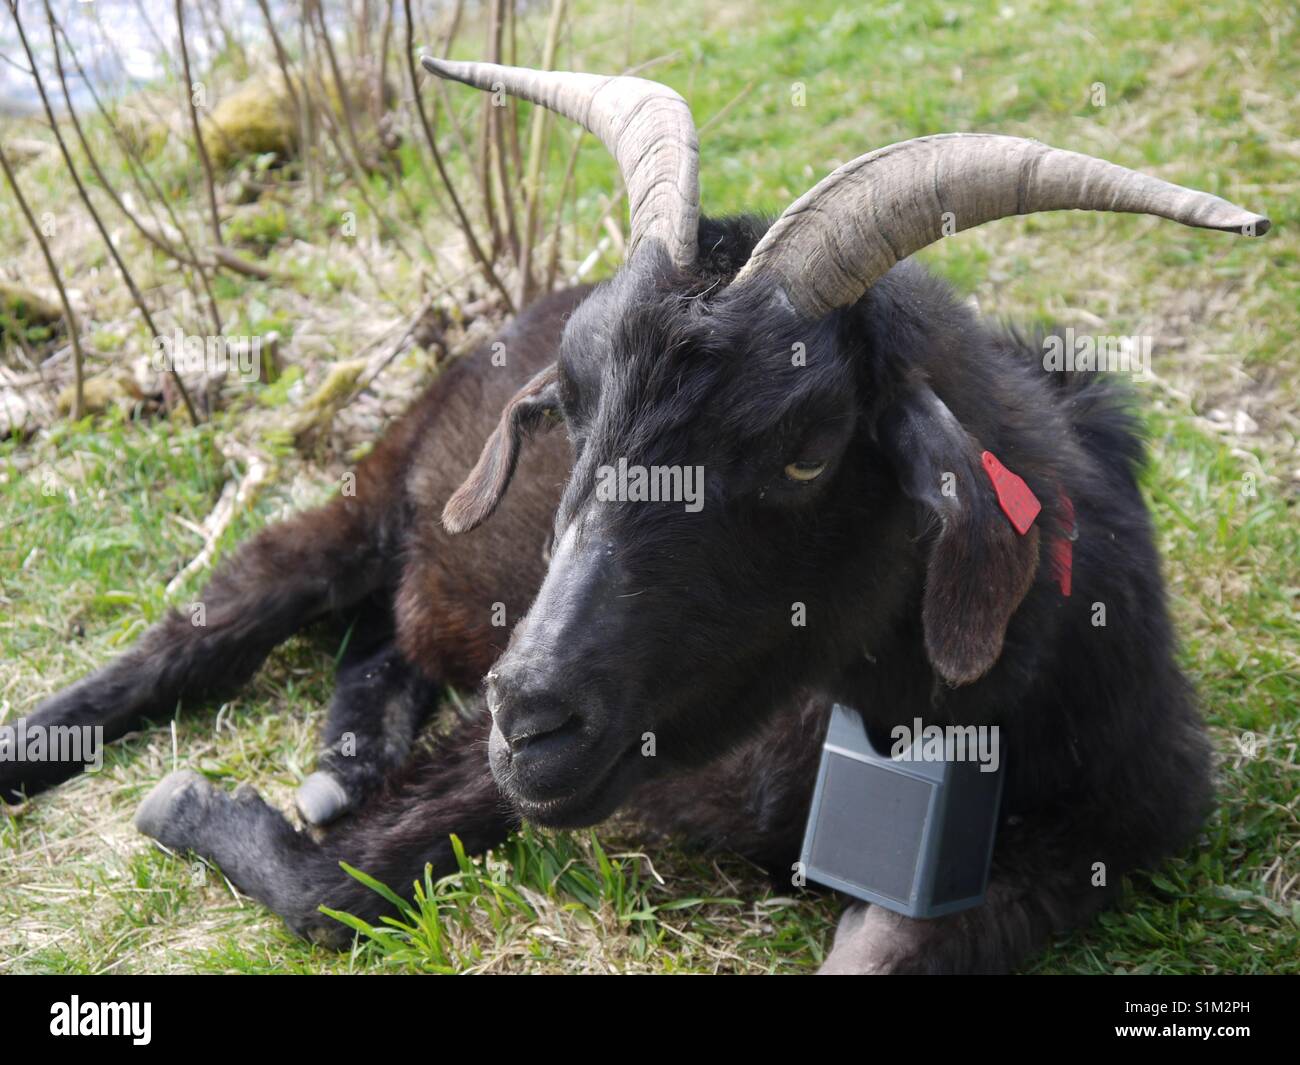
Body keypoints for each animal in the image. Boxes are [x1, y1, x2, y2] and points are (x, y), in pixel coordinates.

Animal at [1, 58, 1269, 973]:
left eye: (809, 449)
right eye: (567, 404)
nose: (532, 717)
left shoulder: (1112, 832)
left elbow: (886, 947)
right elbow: (336, 890)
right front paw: (187, 805)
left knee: (387, 638)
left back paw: (345, 756)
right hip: (376, 492)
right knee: (226, 618)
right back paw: (39, 746)